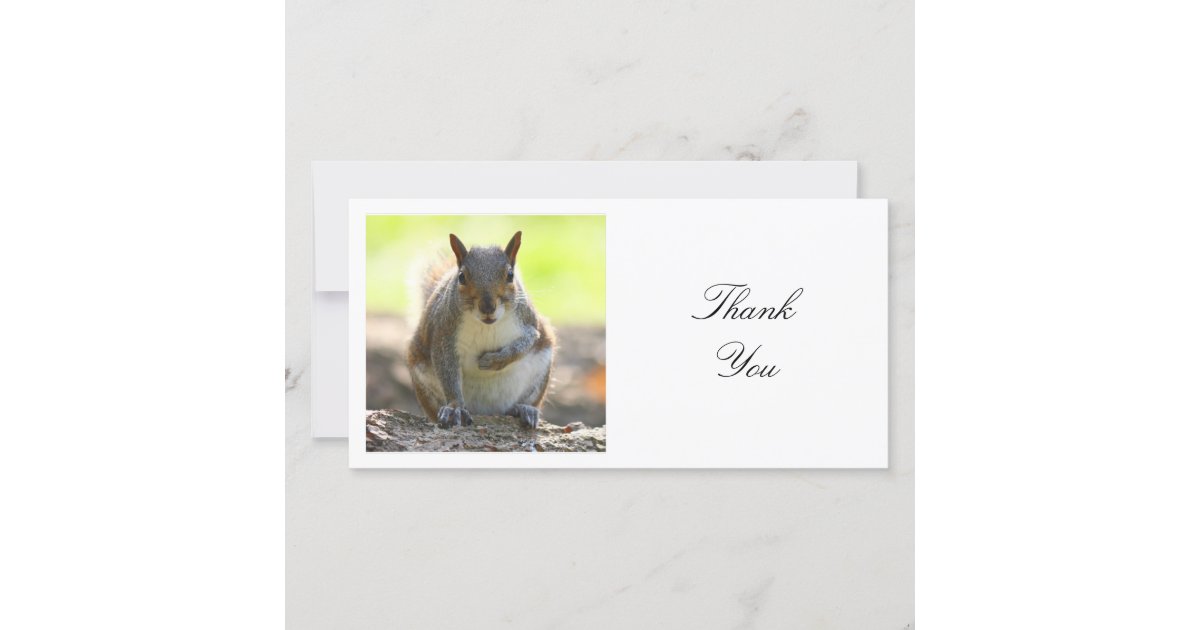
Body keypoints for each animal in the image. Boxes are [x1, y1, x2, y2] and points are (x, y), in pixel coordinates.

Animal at [407, 231, 556, 430]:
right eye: (461, 277)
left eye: (510, 275)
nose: (487, 307)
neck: (487, 325)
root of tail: (487, 411)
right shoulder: (443, 334)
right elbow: (448, 372)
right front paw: (455, 407)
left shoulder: (530, 324)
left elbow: (526, 343)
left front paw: (494, 361)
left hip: (540, 371)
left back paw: (523, 409)